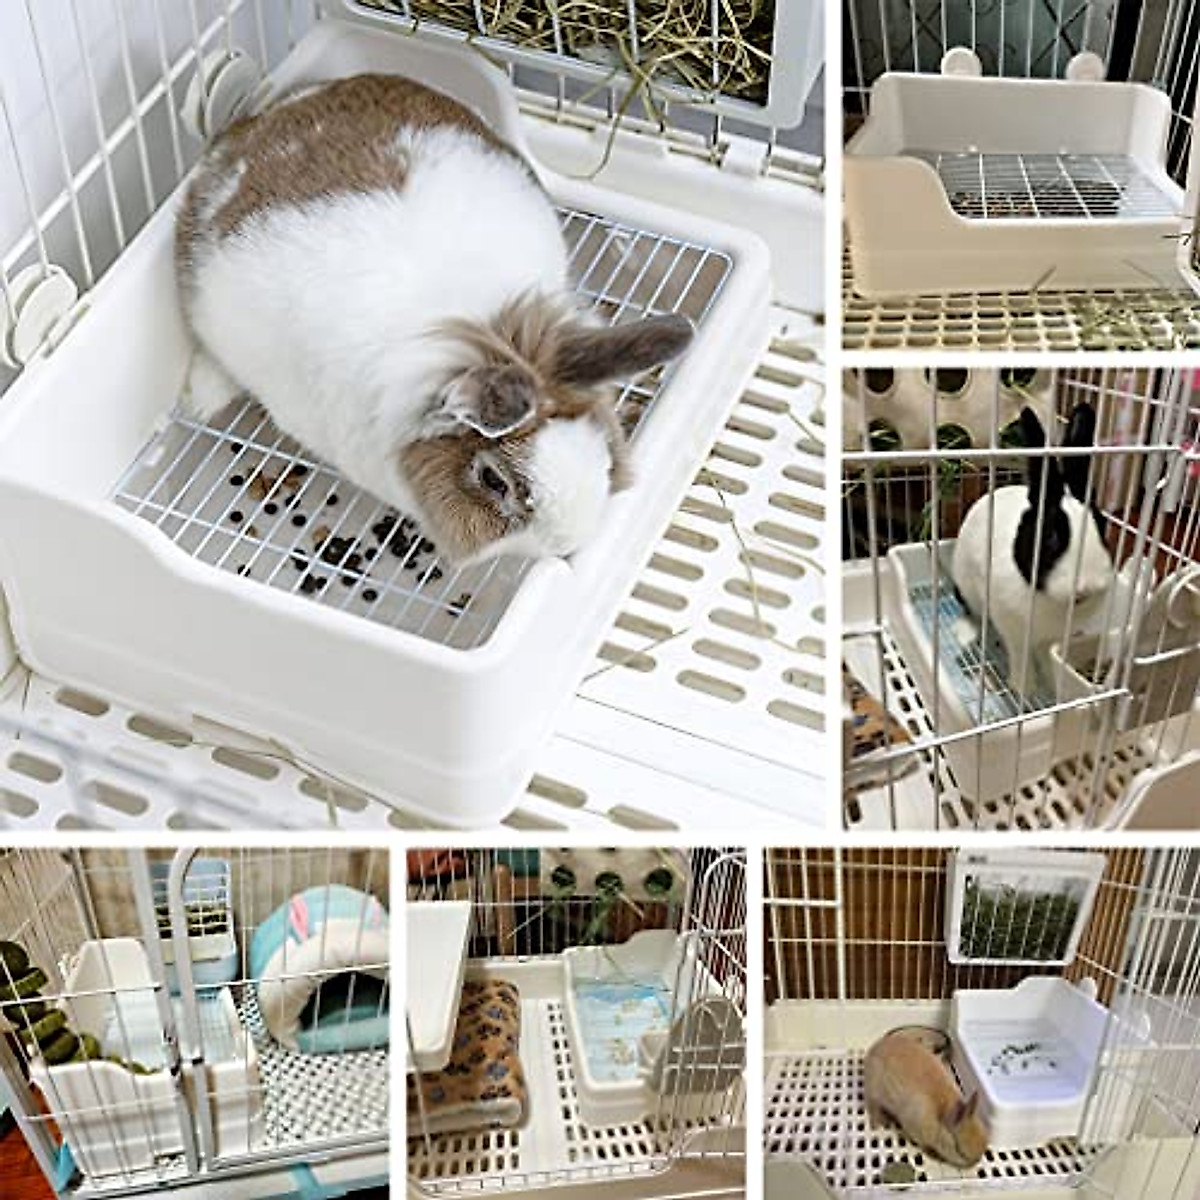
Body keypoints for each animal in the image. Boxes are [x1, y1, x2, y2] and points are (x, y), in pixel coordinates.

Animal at [864, 1030, 988, 1169]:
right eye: (959, 1150)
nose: (975, 1163)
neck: (941, 1115)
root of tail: (874, 1048)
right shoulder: (914, 1127)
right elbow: (922, 1144)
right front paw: (932, 1154)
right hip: (874, 1091)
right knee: (873, 1105)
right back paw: (879, 1122)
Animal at [951, 404, 1114, 697]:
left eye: (1102, 524)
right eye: (1049, 536)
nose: (1087, 590)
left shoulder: (1051, 638)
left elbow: (1045, 656)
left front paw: (1050, 683)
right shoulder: (1013, 629)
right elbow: (1021, 656)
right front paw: (1024, 689)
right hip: (967, 586)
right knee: (972, 611)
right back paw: (966, 633)